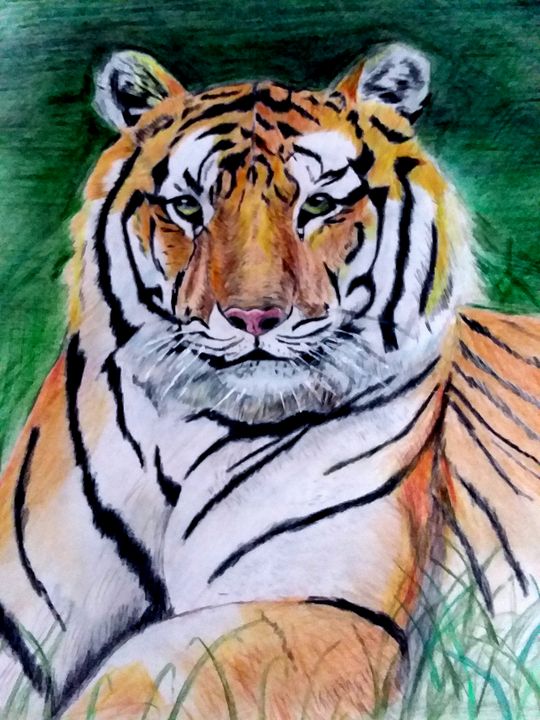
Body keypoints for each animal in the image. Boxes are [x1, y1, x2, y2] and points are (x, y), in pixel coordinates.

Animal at [0, 42, 538, 720]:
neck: (181, 438)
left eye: (318, 206)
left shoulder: (322, 607)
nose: (254, 316)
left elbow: (143, 682)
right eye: (189, 209)